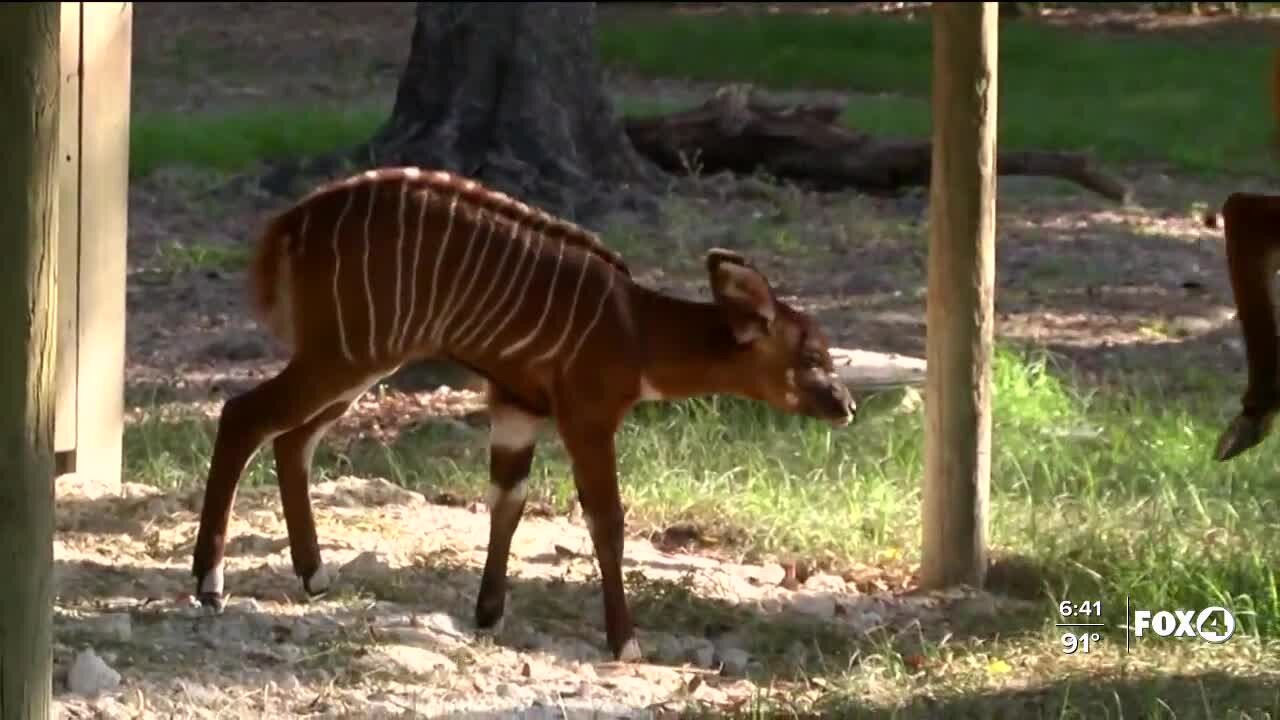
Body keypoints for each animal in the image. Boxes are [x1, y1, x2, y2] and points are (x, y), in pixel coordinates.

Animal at [190, 166, 858, 661]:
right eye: (813, 355)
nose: (847, 405)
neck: (636, 331)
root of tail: (287, 227)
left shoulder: (517, 408)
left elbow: (506, 501)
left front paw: (488, 614)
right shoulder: (587, 416)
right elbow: (606, 520)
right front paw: (625, 643)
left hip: (355, 363)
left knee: (291, 437)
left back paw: (314, 575)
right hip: (348, 353)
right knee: (243, 415)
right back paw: (209, 586)